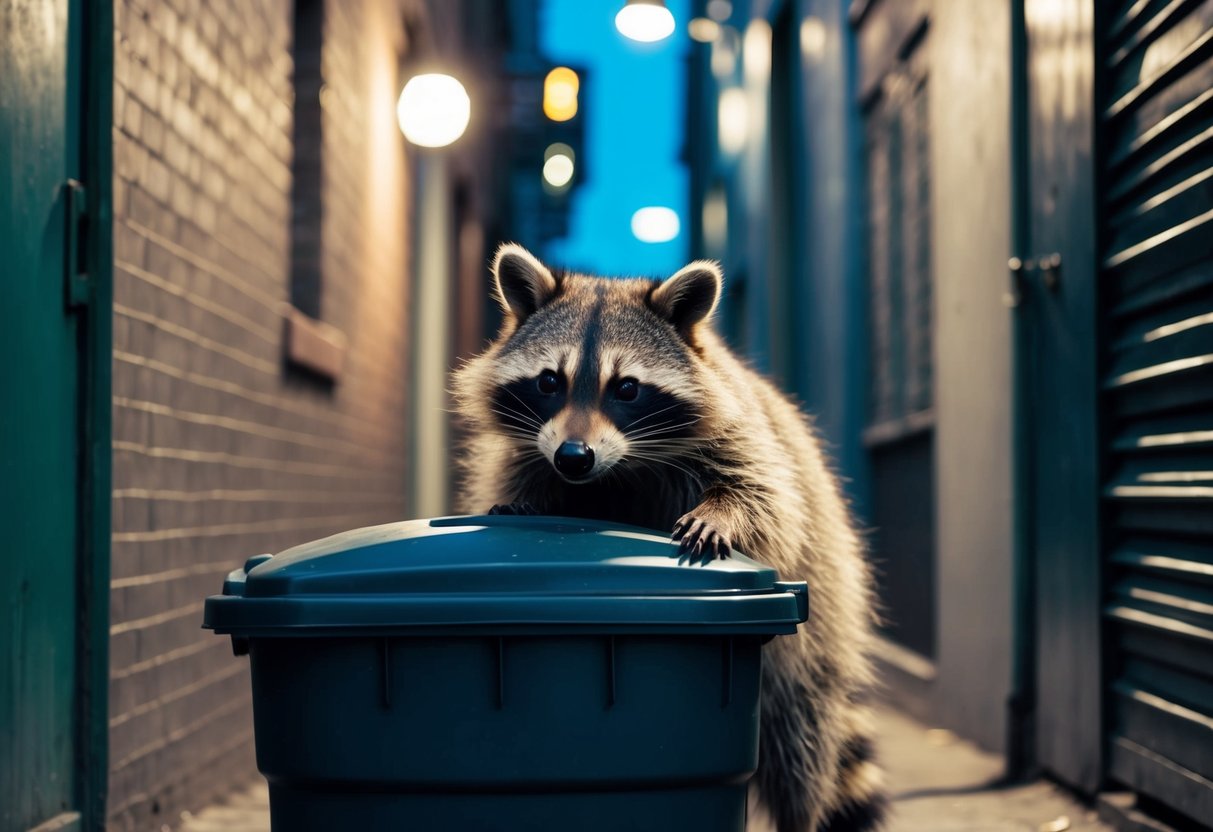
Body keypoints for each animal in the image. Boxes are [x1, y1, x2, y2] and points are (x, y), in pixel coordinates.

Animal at [453, 243, 886, 832]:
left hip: (815, 634)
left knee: (801, 743)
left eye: (626, 388)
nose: (573, 457)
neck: (618, 469)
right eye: (548, 382)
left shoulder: (742, 435)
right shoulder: (526, 455)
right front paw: (527, 506)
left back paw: (802, 813)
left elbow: (768, 497)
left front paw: (723, 514)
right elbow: (517, 484)